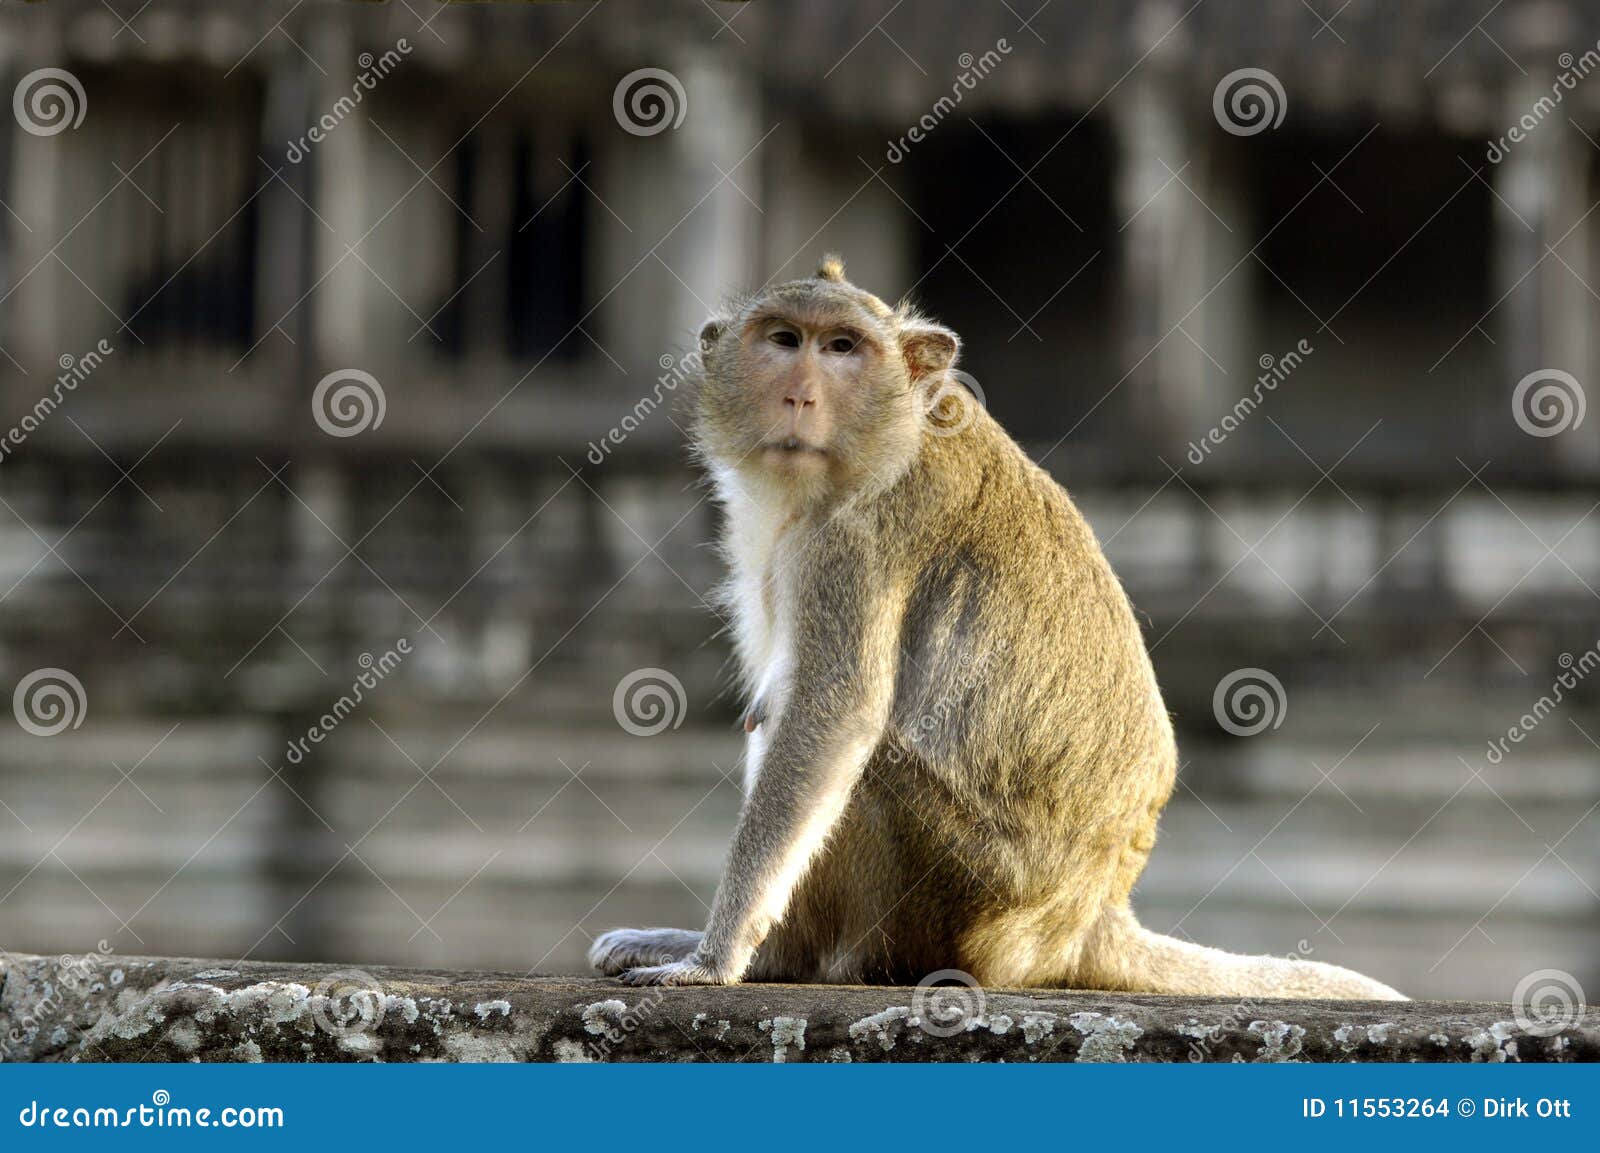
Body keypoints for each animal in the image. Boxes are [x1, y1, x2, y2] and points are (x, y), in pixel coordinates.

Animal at [588, 255, 1405, 1001]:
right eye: (785, 340)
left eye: (843, 347)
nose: (799, 393)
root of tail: (1088, 918)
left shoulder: (850, 543)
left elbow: (831, 718)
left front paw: (715, 957)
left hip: (960, 902)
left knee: (870, 765)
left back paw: (784, 957)